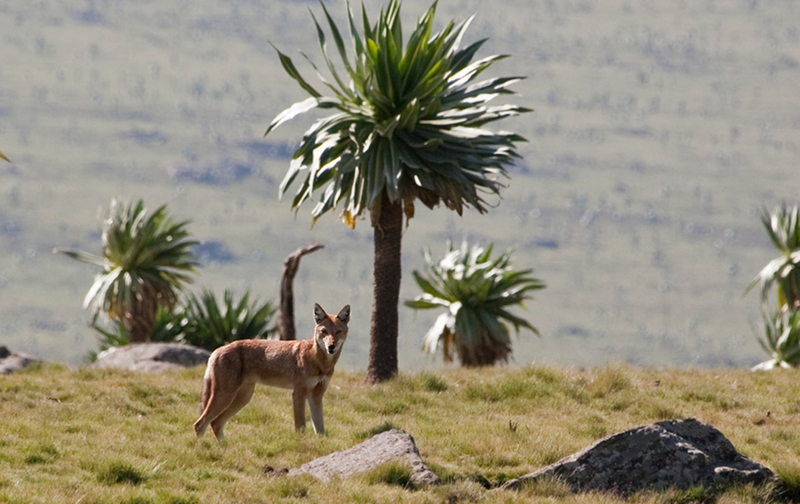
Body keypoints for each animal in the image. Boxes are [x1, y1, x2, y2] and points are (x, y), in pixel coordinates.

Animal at [193, 303, 350, 439]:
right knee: (200, 424)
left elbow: (320, 428)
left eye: (338, 332)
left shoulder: (316, 396)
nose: (331, 347)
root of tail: (217, 350)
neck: (320, 362)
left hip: (242, 398)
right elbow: (300, 426)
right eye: (324, 332)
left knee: (215, 423)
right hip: (226, 396)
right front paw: (301, 443)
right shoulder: (298, 394)